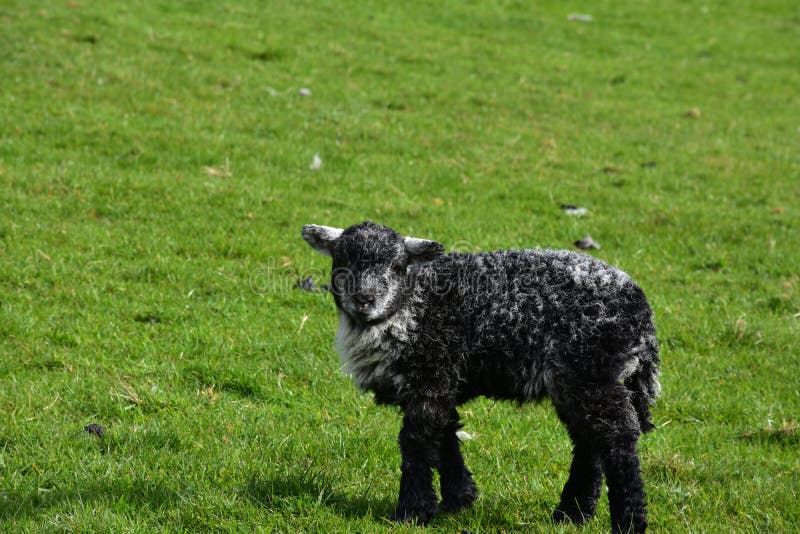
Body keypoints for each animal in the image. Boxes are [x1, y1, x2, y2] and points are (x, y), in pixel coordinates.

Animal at [302, 221, 660, 533]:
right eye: (342, 260)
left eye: (397, 265)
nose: (364, 299)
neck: (411, 307)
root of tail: (640, 309)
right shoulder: (439, 382)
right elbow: (444, 432)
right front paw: (458, 499)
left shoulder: (432, 375)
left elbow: (416, 440)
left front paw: (412, 511)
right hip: (576, 381)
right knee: (588, 442)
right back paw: (572, 514)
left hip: (593, 372)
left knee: (617, 438)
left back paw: (628, 521)